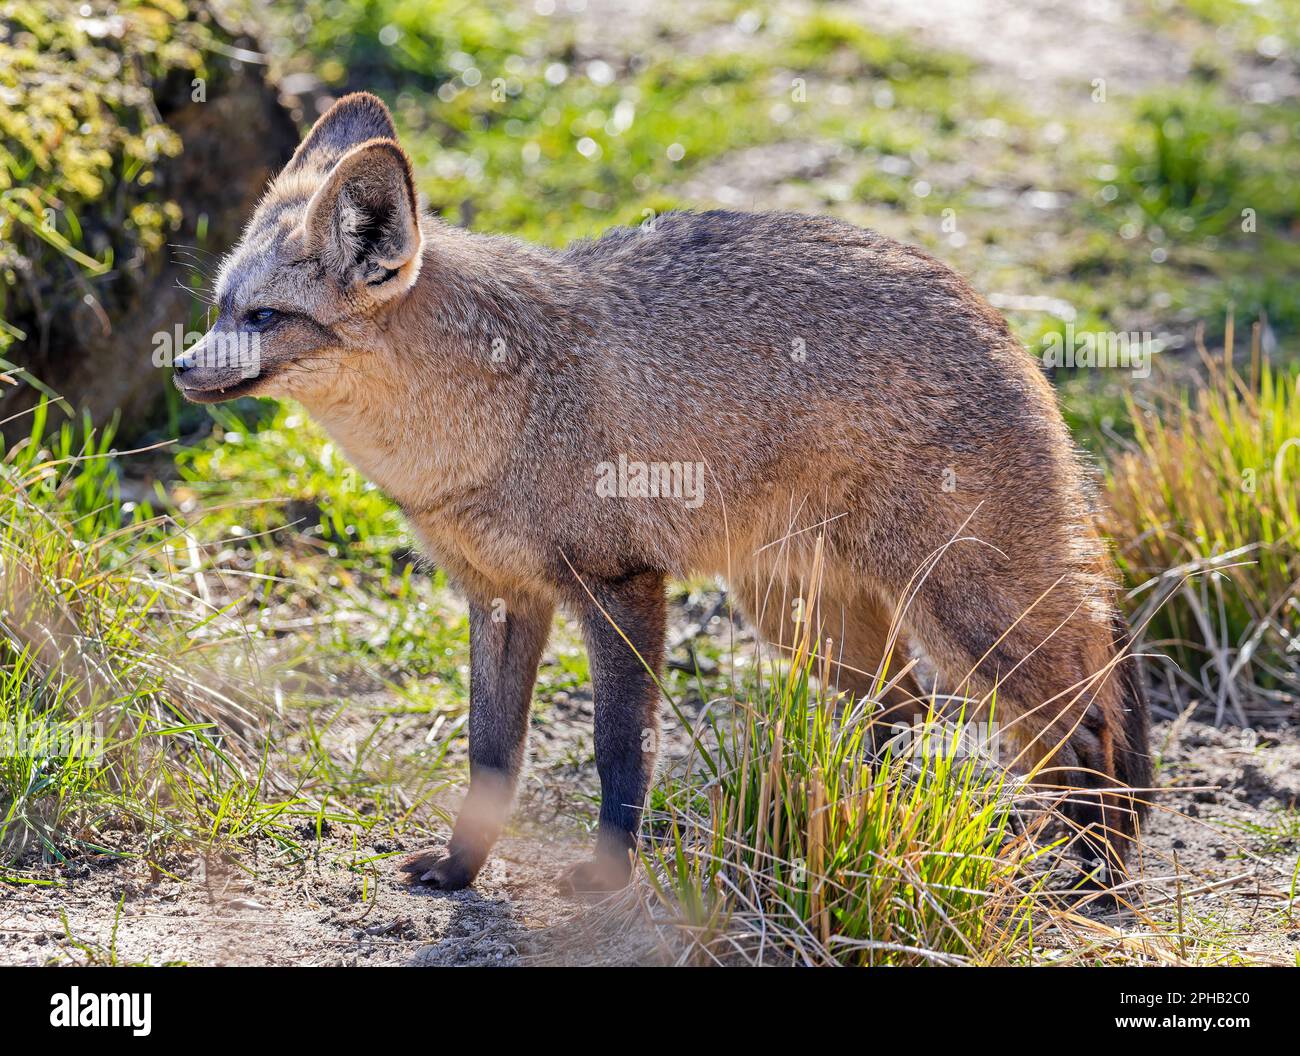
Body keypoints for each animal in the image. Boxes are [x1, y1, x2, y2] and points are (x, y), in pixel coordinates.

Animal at [176, 92, 1151, 894]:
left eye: (264, 318)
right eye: (219, 309)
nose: (182, 367)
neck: (492, 415)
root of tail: (992, 313)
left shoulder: (620, 588)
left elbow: (617, 753)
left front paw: (608, 878)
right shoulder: (499, 598)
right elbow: (490, 756)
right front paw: (461, 870)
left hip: (962, 616)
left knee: (1083, 726)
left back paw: (1094, 878)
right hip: (802, 618)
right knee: (905, 706)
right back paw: (862, 827)